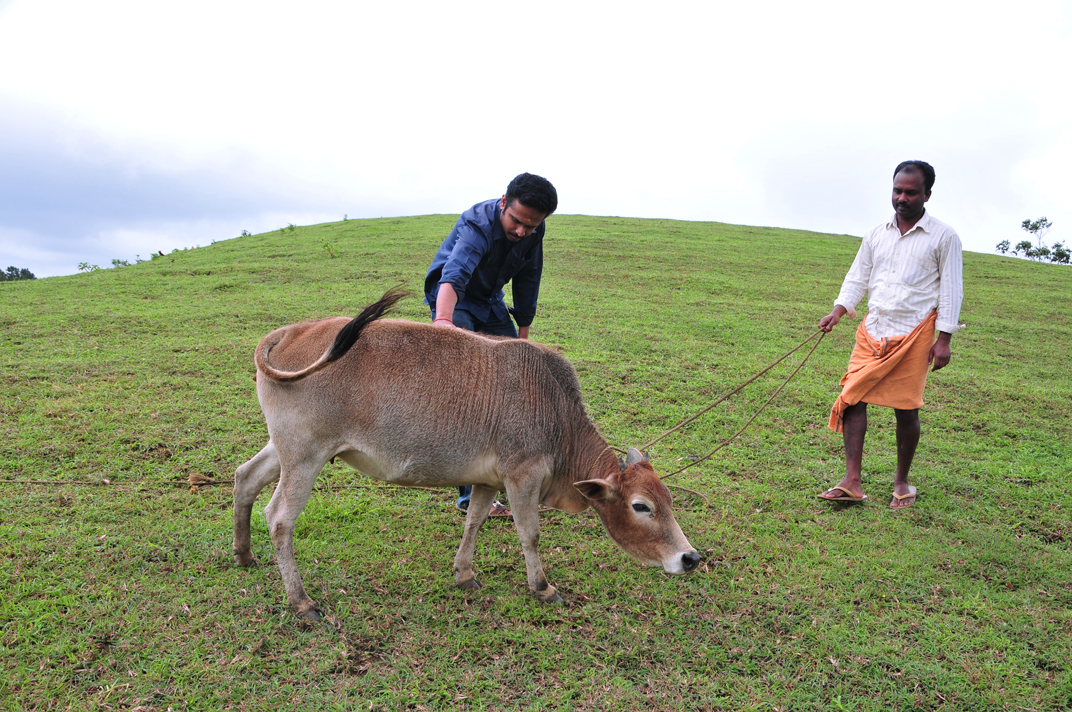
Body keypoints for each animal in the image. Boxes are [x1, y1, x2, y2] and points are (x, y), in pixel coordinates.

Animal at [232, 289, 700, 620]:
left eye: (668, 500)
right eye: (641, 506)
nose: (690, 557)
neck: (555, 412)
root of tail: (288, 331)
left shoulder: (487, 479)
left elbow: (474, 522)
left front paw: (465, 574)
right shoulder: (523, 476)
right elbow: (529, 533)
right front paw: (542, 587)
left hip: (284, 449)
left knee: (245, 477)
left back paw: (243, 554)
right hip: (305, 456)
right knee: (279, 518)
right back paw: (302, 601)